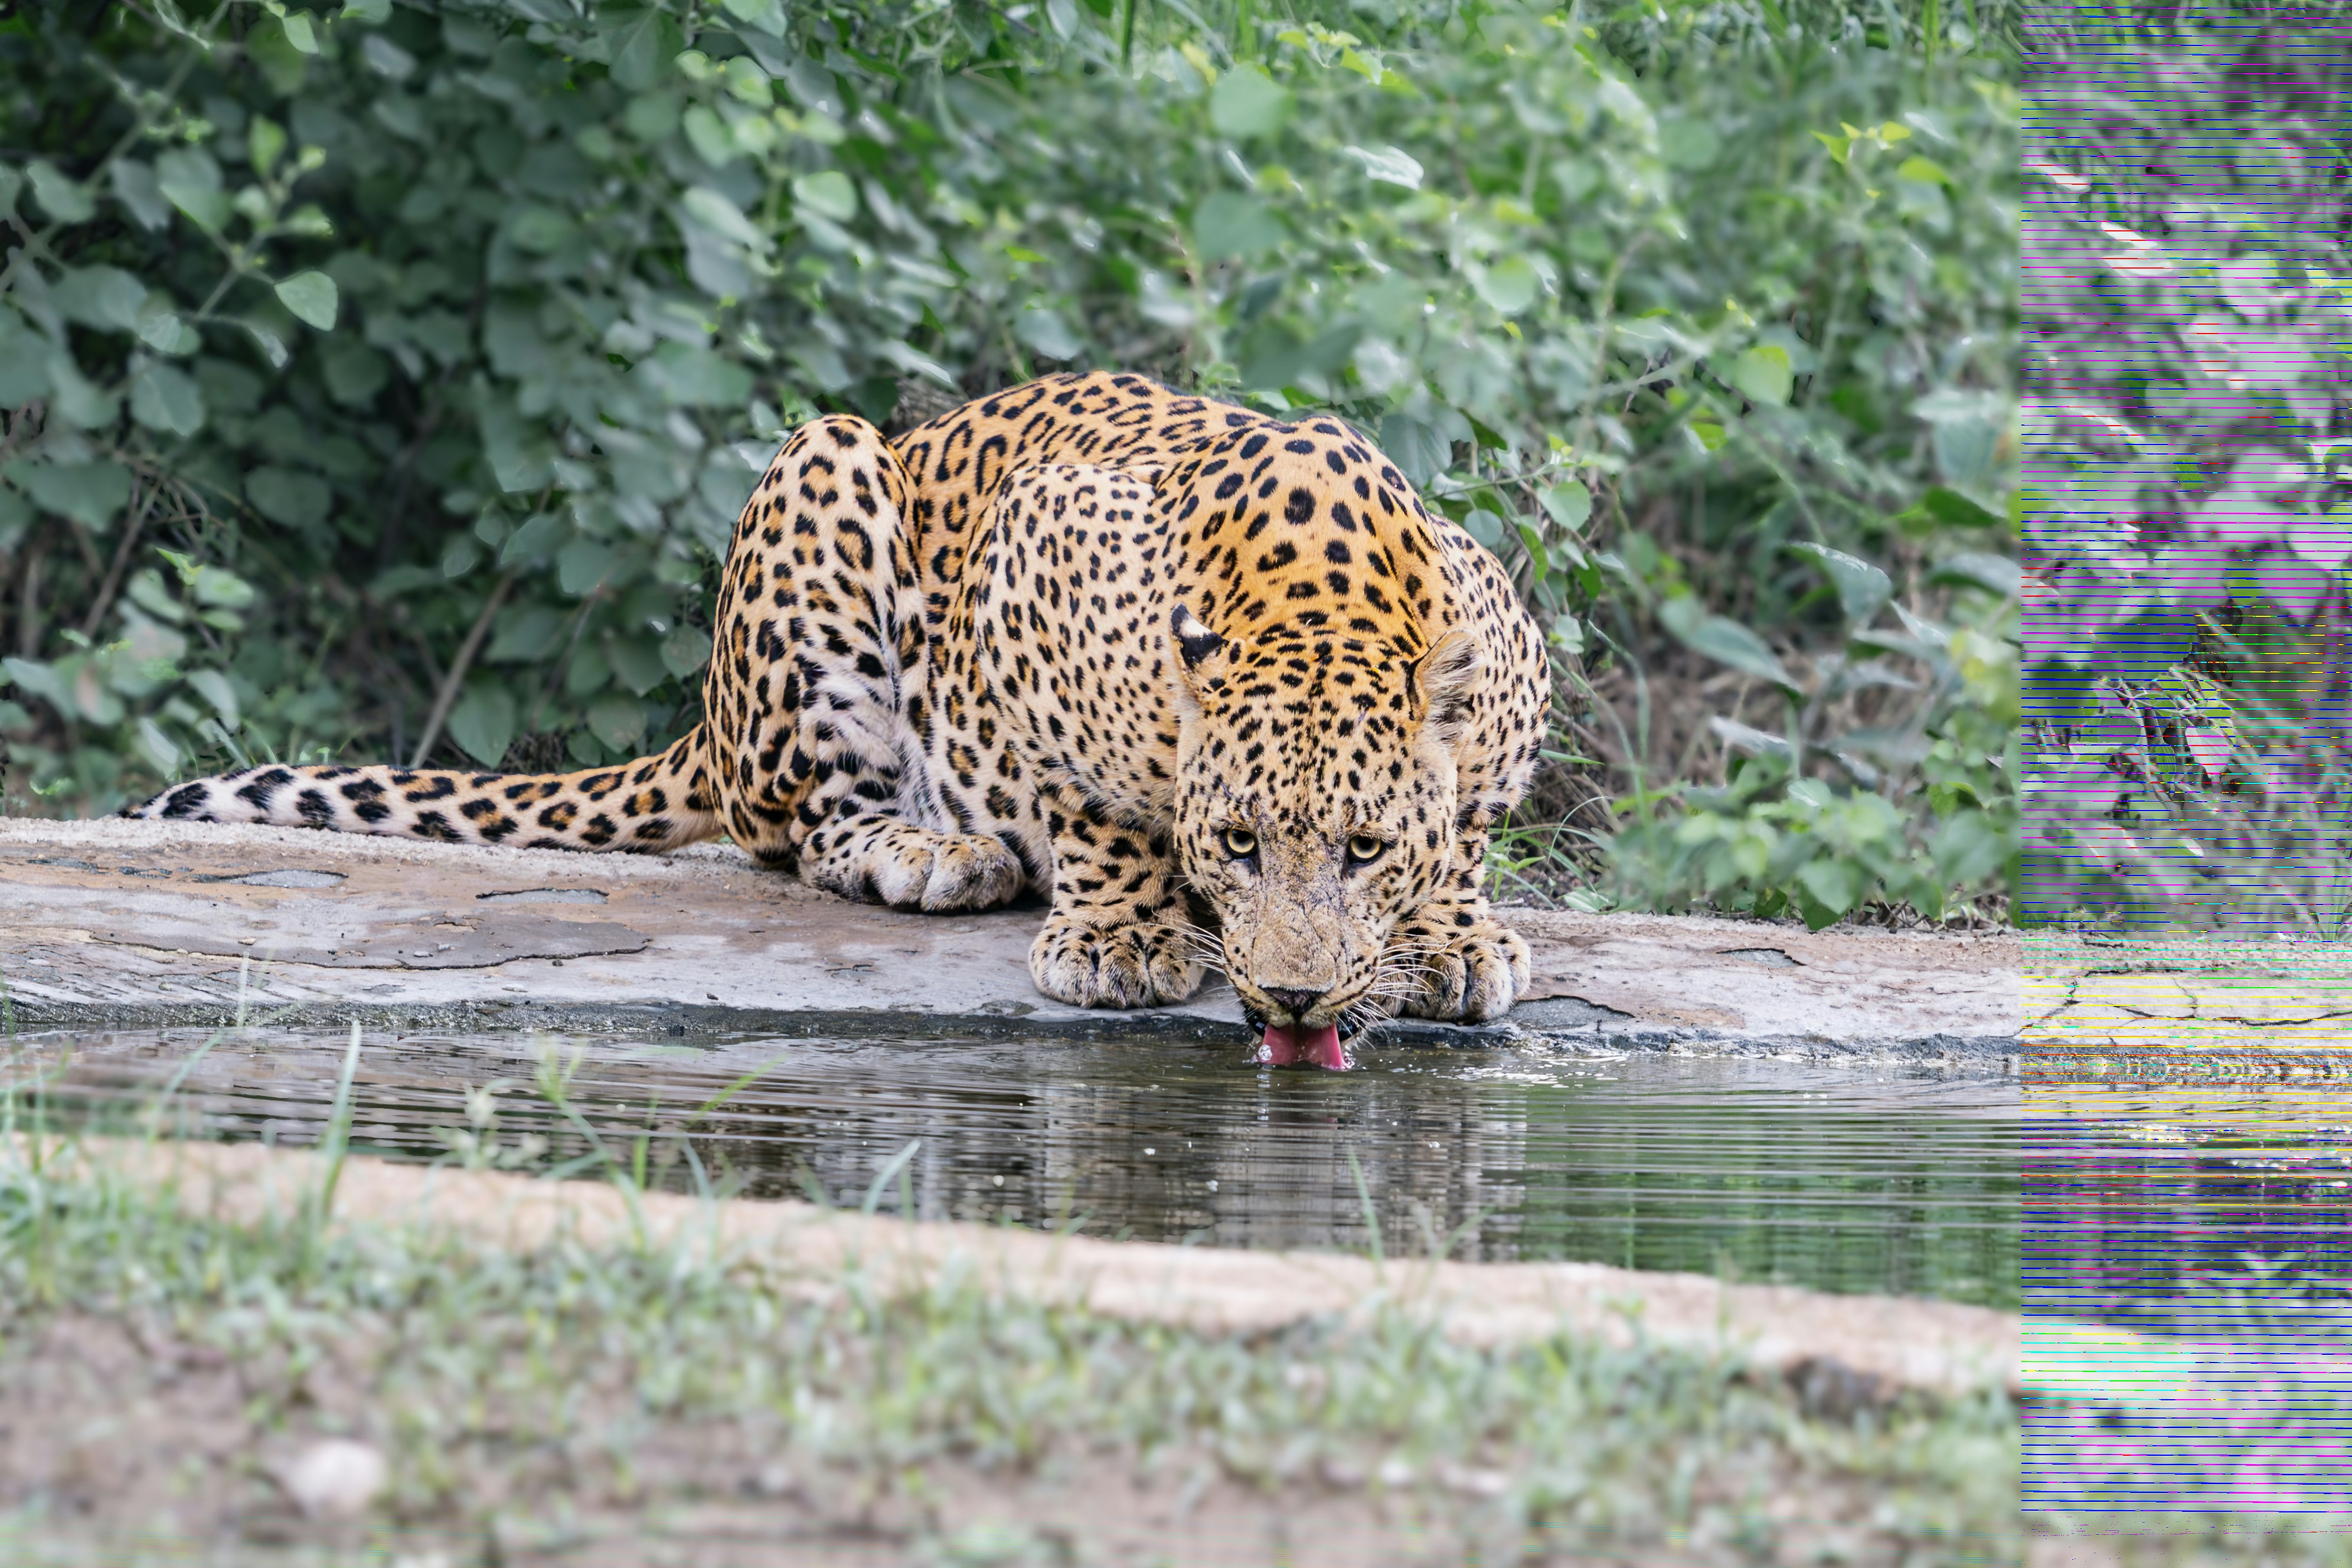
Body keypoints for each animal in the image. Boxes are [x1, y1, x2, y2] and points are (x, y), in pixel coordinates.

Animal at [128, 372, 1551, 1061]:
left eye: (1361, 850)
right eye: (1240, 844)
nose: (1298, 998)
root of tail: (705, 719)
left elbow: (1467, 826)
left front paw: (1451, 933)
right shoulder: (1034, 558)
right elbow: (1093, 798)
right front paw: (1121, 933)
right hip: (826, 472)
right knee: (808, 827)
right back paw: (931, 851)